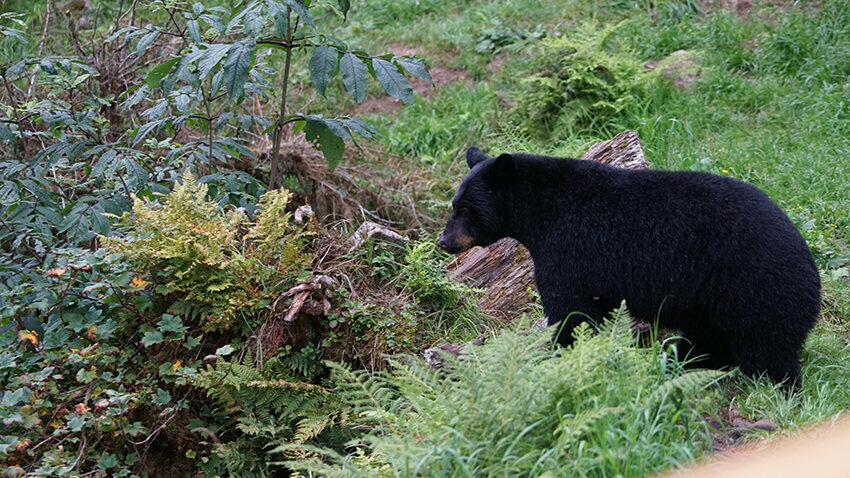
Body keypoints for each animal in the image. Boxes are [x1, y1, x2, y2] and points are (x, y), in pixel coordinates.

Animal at [438, 146, 821, 386]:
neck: (540, 212)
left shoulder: (566, 247)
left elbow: (571, 310)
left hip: (753, 287)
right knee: (712, 339)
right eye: (454, 204)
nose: (444, 241)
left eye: (467, 209)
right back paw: (679, 359)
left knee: (765, 346)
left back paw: (774, 384)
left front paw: (562, 358)